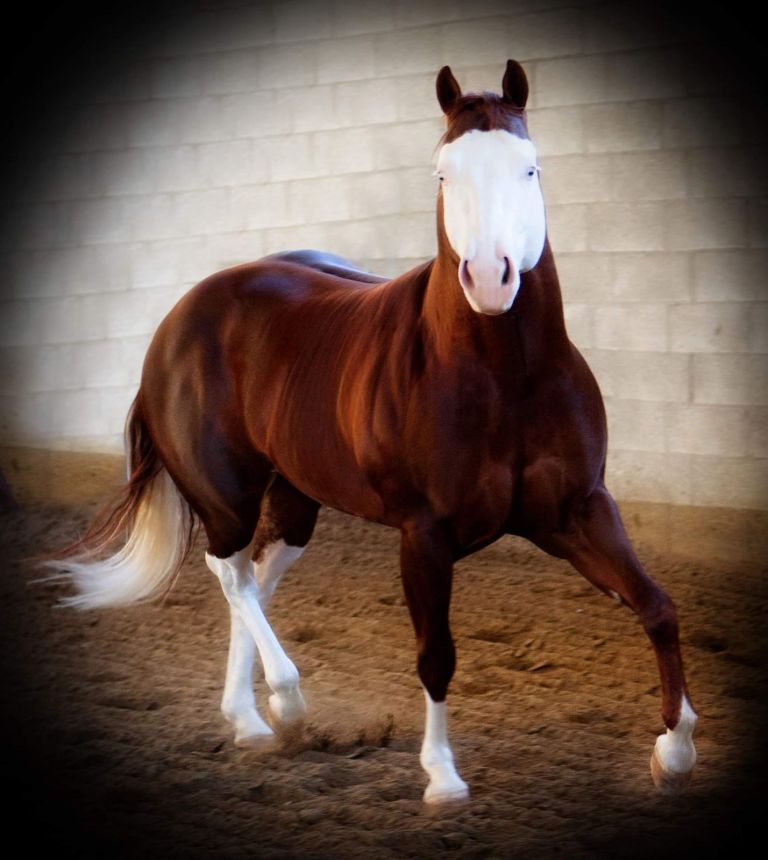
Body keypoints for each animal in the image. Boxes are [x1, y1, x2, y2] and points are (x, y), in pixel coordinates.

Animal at [51, 60, 697, 804]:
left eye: (530, 167)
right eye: (444, 173)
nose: (490, 277)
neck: (504, 377)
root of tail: (181, 317)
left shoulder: (577, 512)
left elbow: (657, 606)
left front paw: (675, 752)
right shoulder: (424, 535)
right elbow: (436, 654)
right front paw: (442, 777)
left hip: (296, 500)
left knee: (257, 576)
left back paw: (250, 719)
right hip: (226, 496)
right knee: (230, 573)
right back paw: (286, 703)